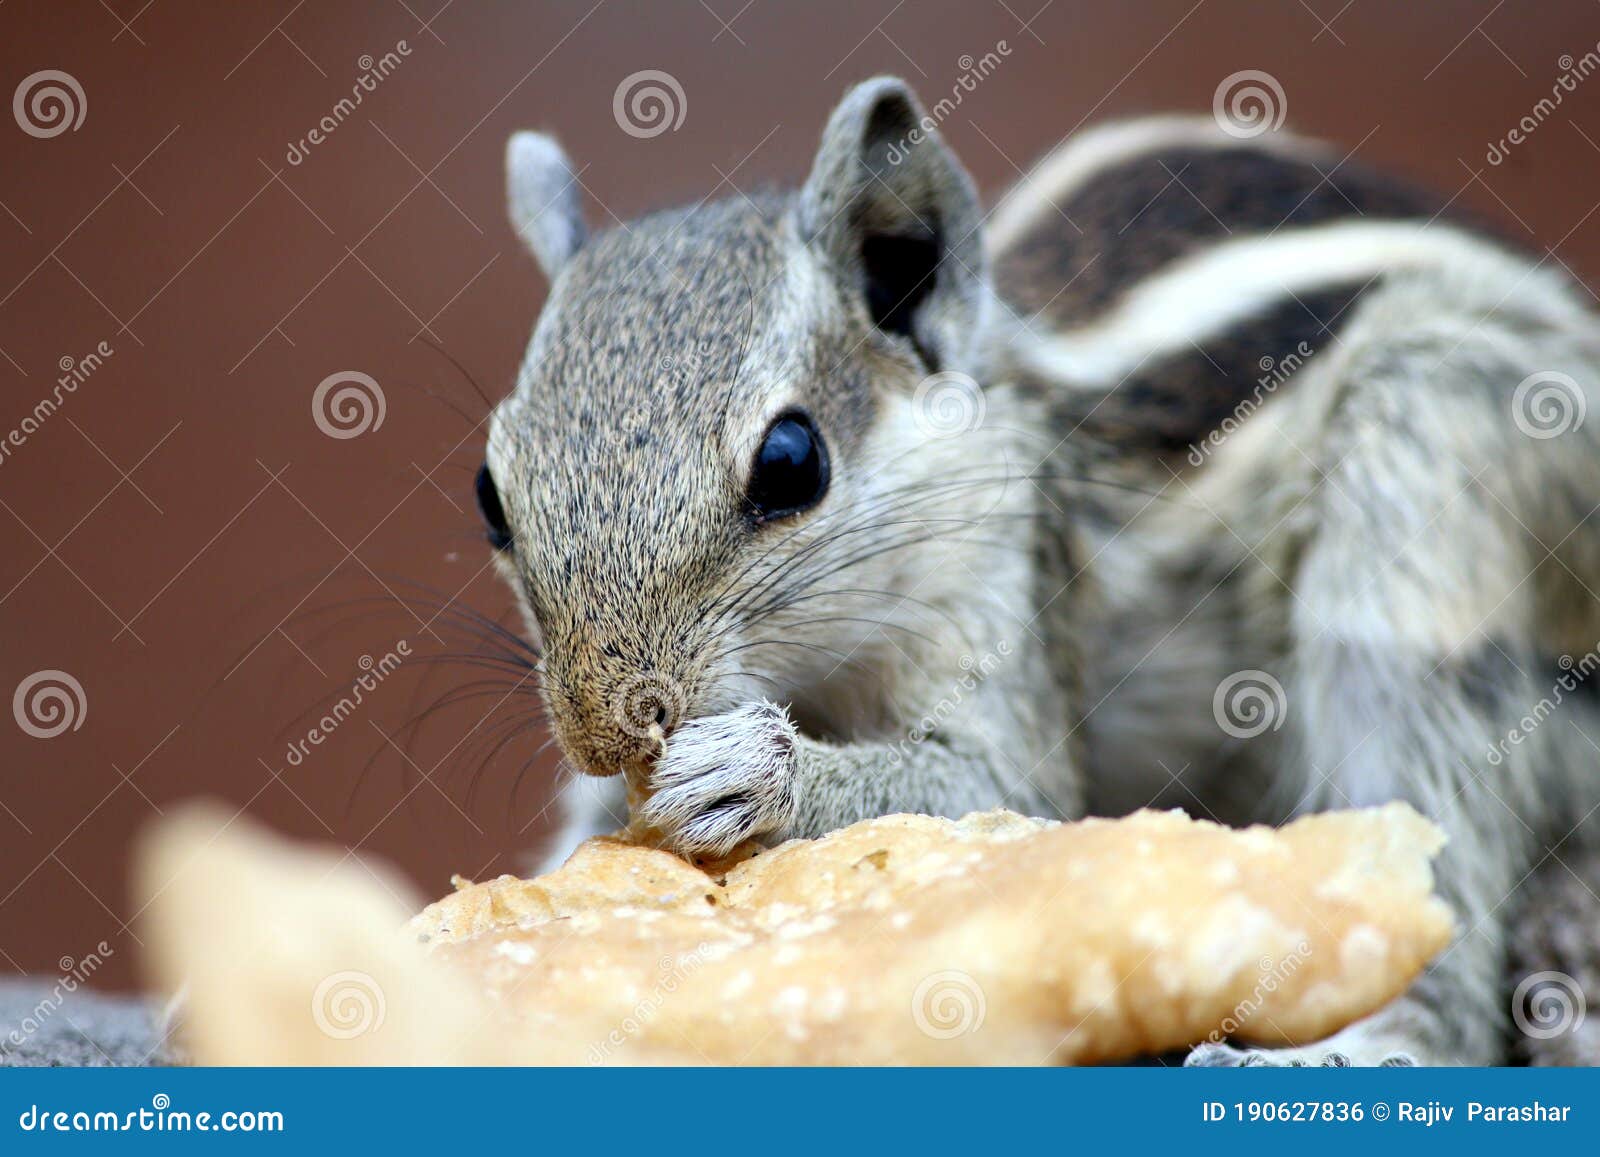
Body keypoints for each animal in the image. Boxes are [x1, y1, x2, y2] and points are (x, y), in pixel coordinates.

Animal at [477, 78, 1600, 1066]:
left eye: (792, 461)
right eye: (489, 493)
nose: (602, 734)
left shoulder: (1008, 589)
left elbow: (998, 785)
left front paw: (751, 767)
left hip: (1429, 446)